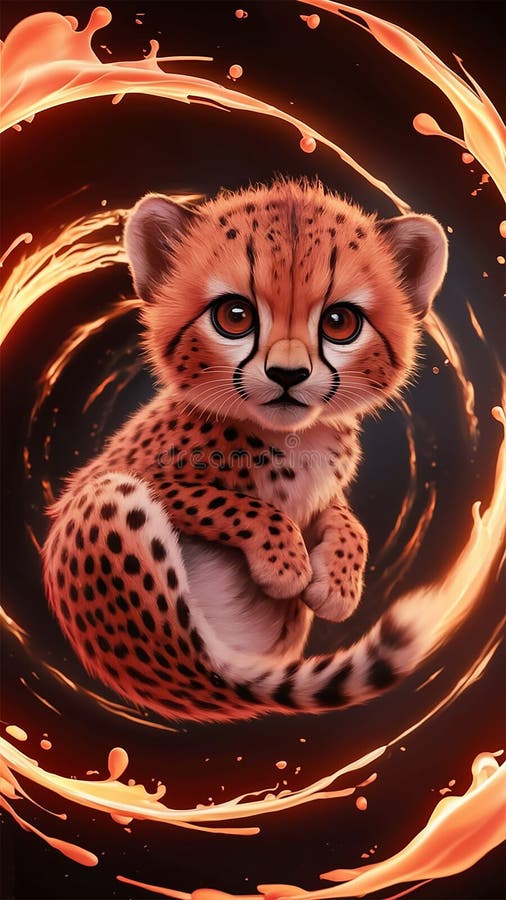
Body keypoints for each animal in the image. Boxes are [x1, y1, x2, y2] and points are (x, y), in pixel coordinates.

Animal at [42, 178, 448, 722]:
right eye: (234, 317)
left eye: (340, 322)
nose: (288, 374)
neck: (299, 438)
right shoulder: (102, 477)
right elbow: (226, 501)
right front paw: (286, 562)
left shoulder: (323, 495)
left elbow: (348, 522)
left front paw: (338, 582)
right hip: (106, 501)